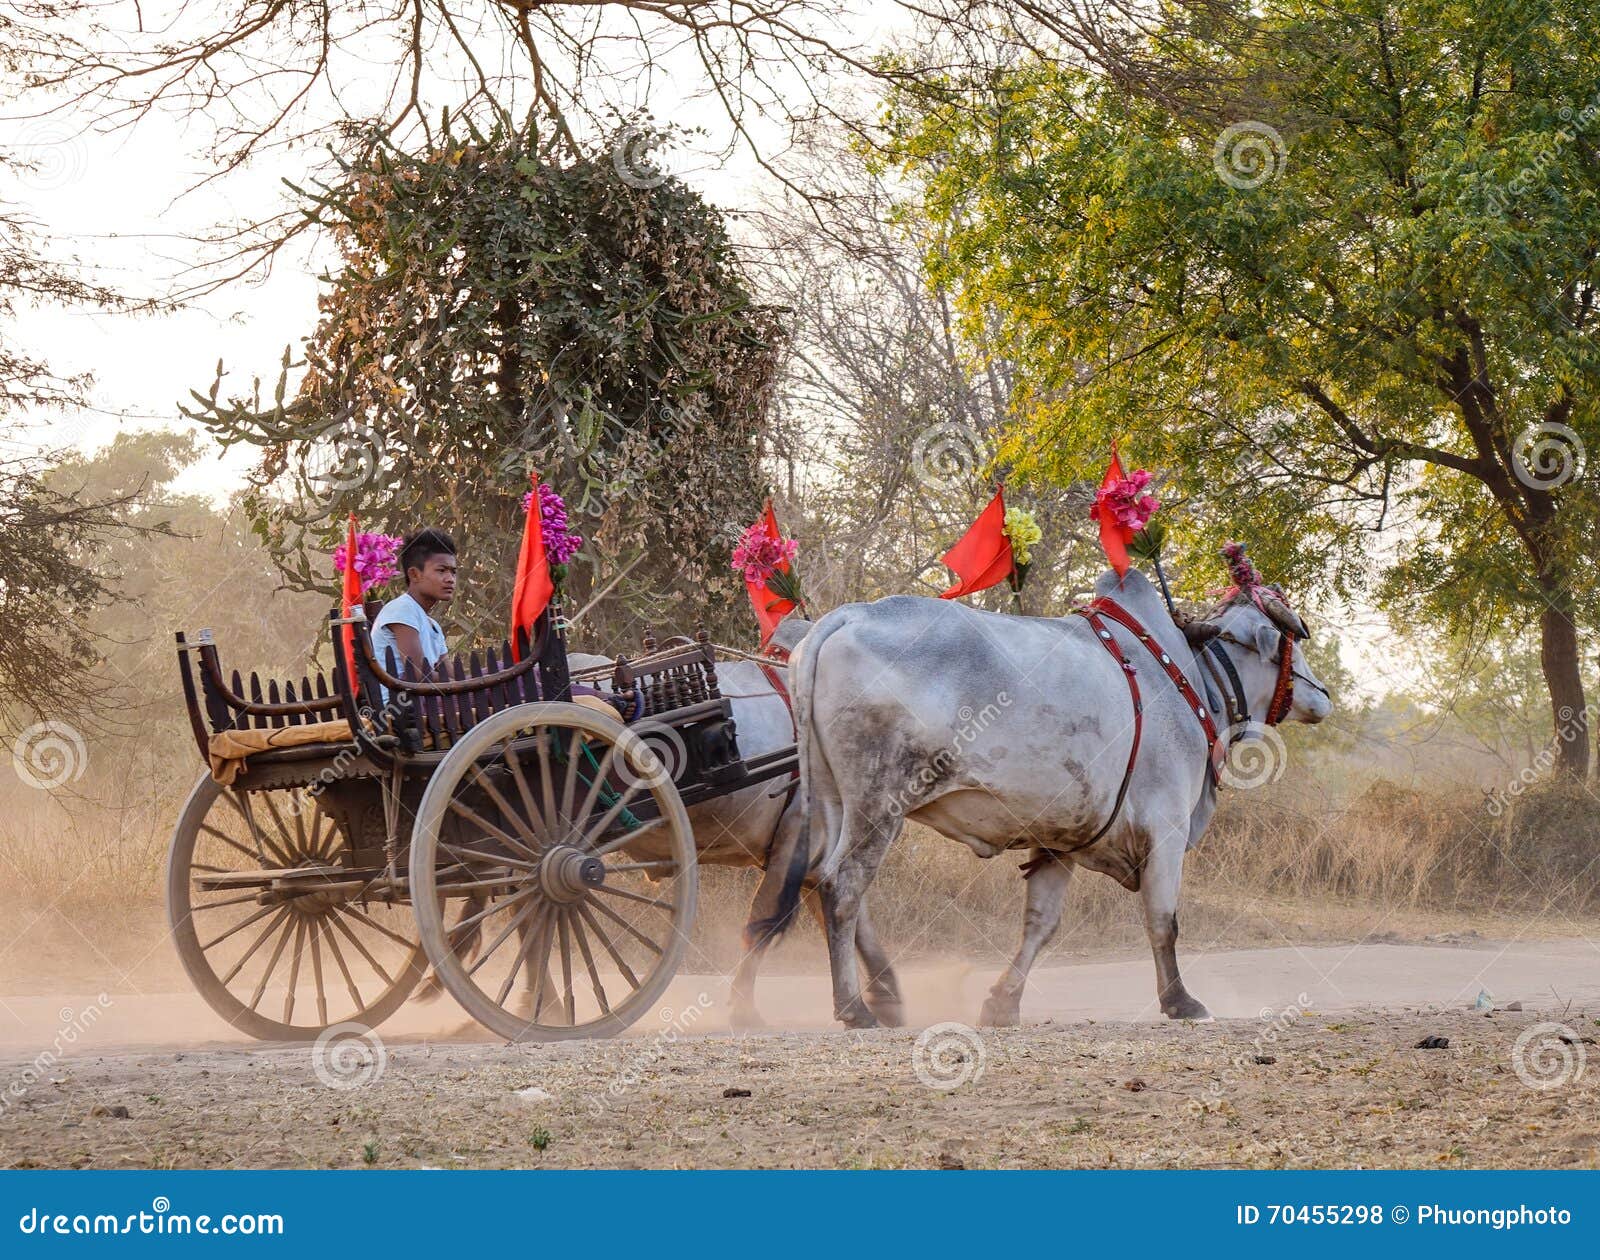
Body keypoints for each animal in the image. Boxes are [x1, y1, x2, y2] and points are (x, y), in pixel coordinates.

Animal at [784, 548, 1331, 1029]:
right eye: (1294, 639)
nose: (1323, 694)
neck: (1191, 678)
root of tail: (846, 617)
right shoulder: (1168, 828)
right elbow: (1164, 919)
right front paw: (1180, 1001)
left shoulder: (1060, 839)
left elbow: (1040, 925)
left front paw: (1002, 1003)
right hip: (879, 805)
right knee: (842, 886)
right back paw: (854, 1007)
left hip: (833, 801)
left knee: (819, 881)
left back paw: (881, 995)